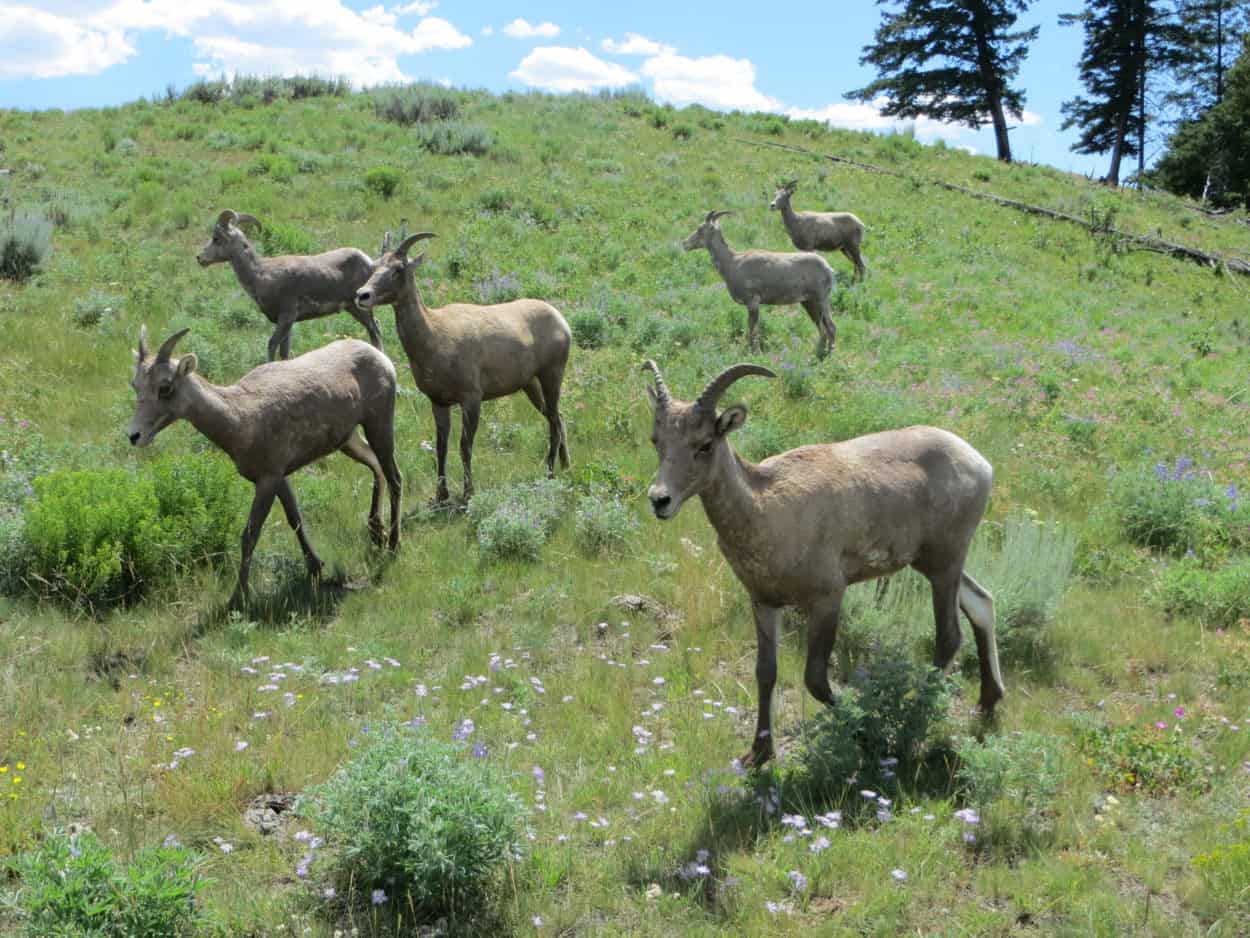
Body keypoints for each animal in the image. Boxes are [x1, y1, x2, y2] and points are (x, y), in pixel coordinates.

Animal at [126, 326, 402, 607]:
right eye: (135, 384)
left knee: (395, 478)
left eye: (165, 387)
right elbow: (295, 518)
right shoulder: (279, 477)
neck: (240, 419)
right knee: (376, 467)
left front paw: (237, 598)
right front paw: (315, 568)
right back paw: (376, 532)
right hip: (348, 440)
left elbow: (250, 535)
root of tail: (380, 357)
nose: (134, 436)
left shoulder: (267, 480)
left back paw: (392, 545)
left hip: (379, 426)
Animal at [197, 210, 383, 361]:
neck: (260, 274)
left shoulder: (286, 316)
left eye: (216, 239)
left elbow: (272, 345)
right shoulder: (288, 323)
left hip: (359, 309)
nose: (199, 258)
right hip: (353, 308)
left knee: (375, 332)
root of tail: (370, 263)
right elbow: (284, 353)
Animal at [354, 232, 571, 505]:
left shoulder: (471, 398)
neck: (435, 336)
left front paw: (468, 494)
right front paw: (441, 495)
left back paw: (550, 472)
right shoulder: (438, 401)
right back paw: (565, 465)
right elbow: (441, 446)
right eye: (374, 266)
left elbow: (464, 446)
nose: (362, 295)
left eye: (398, 268)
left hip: (552, 374)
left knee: (553, 420)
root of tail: (562, 322)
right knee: (558, 416)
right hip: (530, 384)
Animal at [641, 359, 1003, 768]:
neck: (768, 508)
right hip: (935, 564)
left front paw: (868, 733)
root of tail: (980, 464)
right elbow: (765, 672)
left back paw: (911, 723)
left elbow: (815, 679)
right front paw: (757, 755)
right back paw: (988, 702)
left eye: (704, 444)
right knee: (982, 602)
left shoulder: (829, 597)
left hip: (944, 565)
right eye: (657, 440)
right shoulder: (763, 602)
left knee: (949, 637)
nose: (660, 500)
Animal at [682, 210, 837, 356]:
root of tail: (828, 269)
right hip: (809, 303)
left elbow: (753, 331)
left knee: (831, 327)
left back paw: (829, 354)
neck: (733, 263)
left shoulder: (753, 302)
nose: (685, 244)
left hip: (821, 300)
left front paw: (756, 353)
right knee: (822, 328)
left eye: (700, 229)